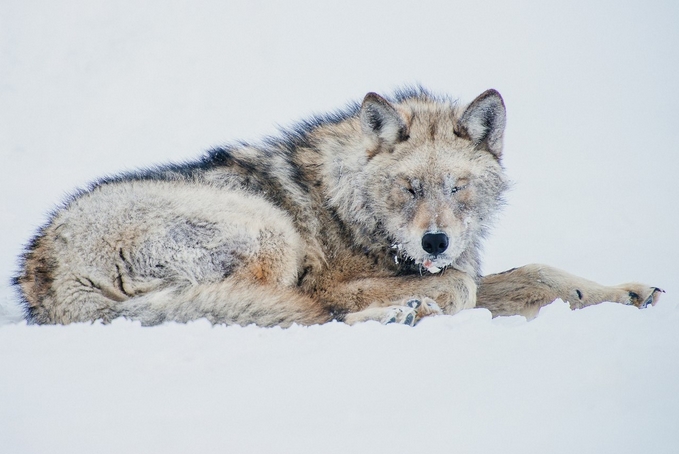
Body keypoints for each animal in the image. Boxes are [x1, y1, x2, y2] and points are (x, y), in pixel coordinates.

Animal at [14, 88, 662, 326]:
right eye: (409, 188)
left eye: (456, 187)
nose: (435, 242)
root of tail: (49, 279)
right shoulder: (336, 280)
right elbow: (461, 285)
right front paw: (419, 300)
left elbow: (538, 273)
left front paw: (627, 293)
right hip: (268, 231)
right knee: (305, 315)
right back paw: (400, 314)